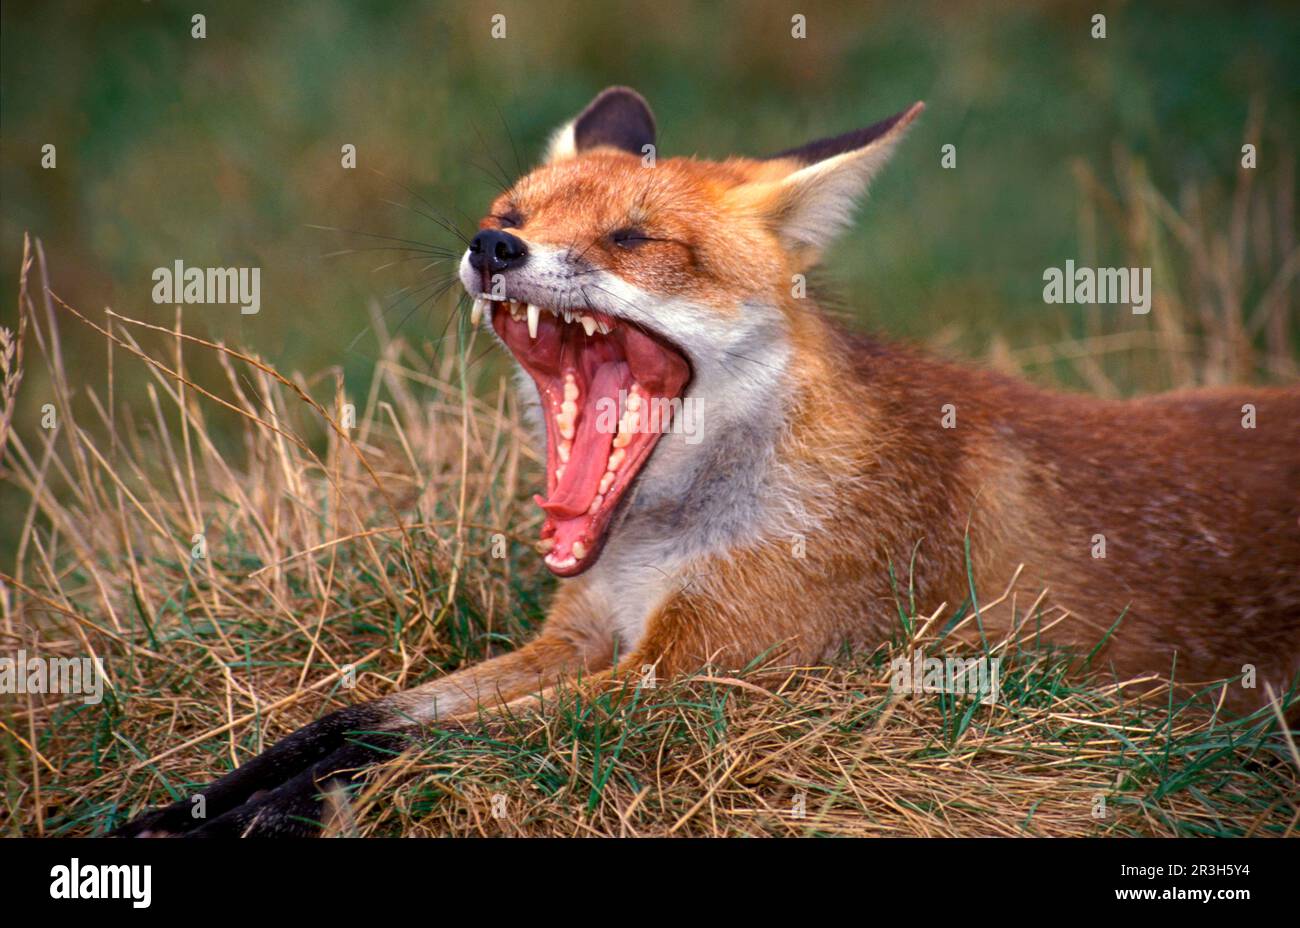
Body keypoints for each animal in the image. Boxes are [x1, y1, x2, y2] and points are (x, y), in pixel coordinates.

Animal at [116, 86, 1300, 837]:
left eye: (634, 239)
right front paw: (187, 808)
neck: (659, 540)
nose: (490, 248)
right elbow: (349, 722)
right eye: (510, 213)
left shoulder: (699, 676)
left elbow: (420, 751)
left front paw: (249, 821)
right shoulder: (582, 633)